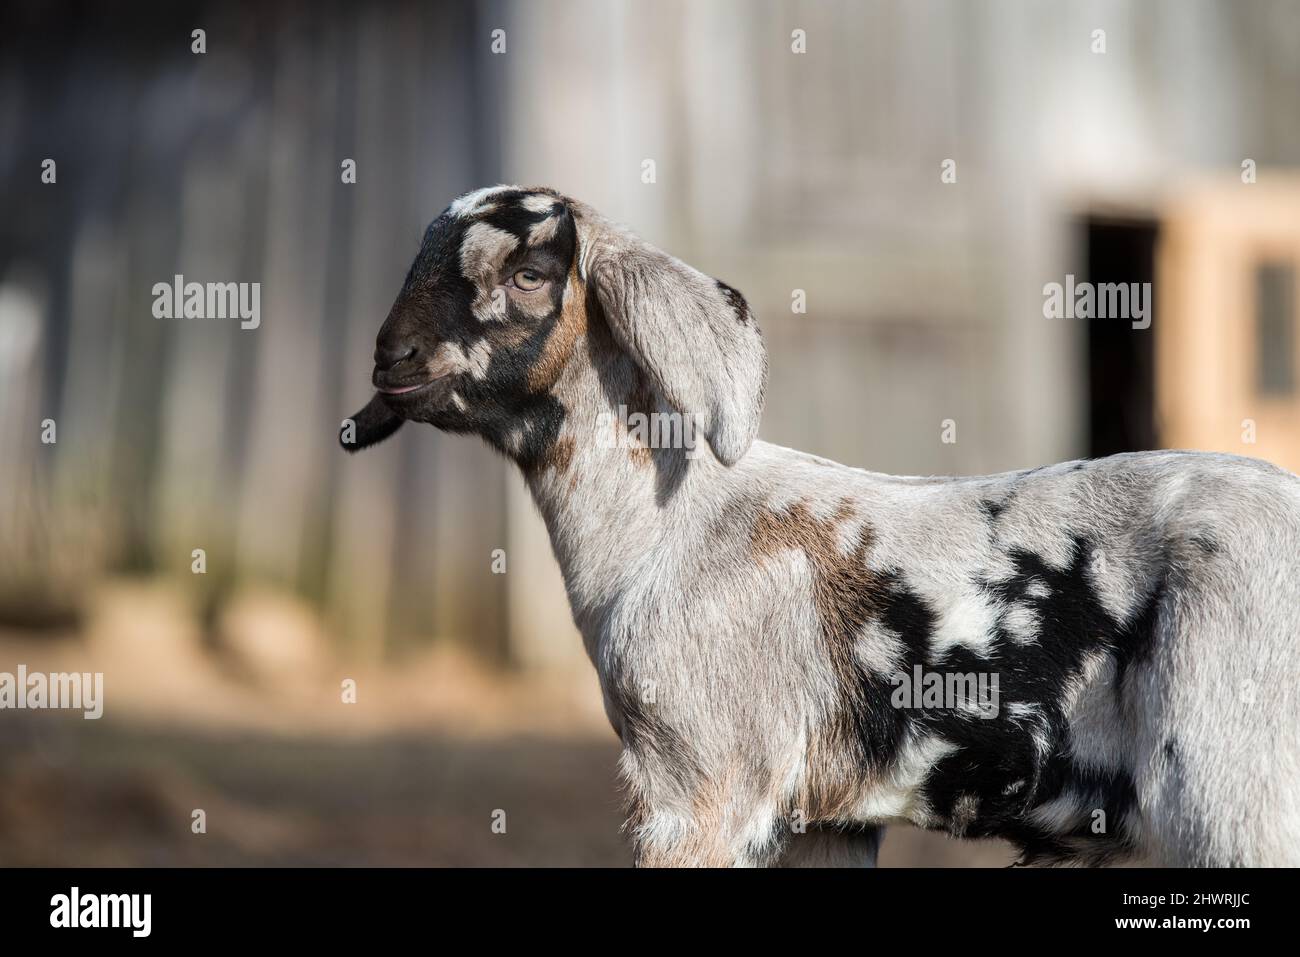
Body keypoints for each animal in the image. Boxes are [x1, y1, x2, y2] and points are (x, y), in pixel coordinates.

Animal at [341, 185, 1300, 867]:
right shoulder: (822, 820)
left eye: (529, 275)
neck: (665, 528)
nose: (392, 359)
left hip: (1235, 789)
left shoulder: (699, 785)